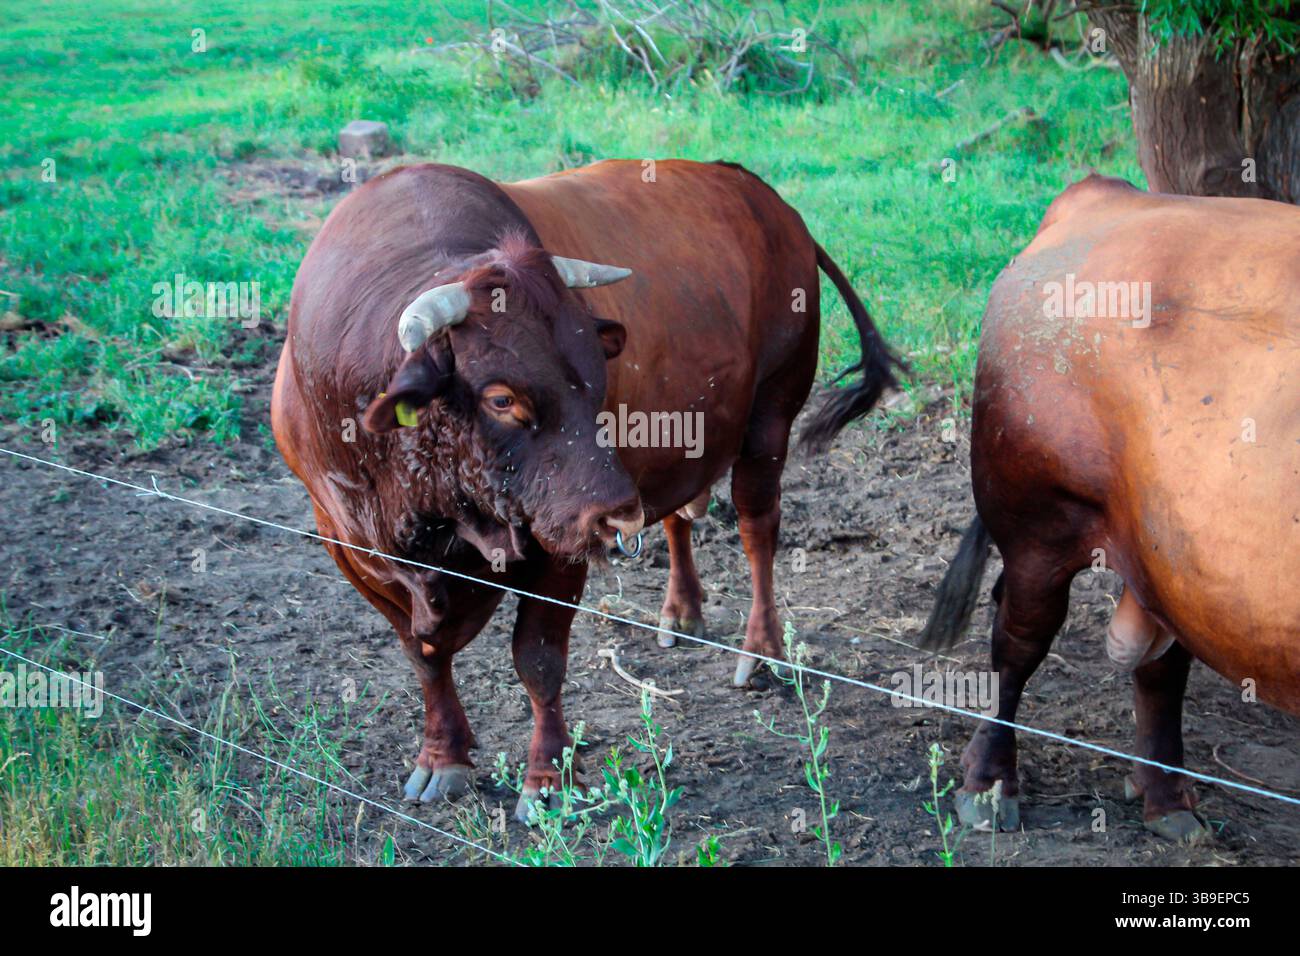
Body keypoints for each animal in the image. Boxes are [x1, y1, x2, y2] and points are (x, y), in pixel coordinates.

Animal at [272, 159, 899, 819]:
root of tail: (768, 200)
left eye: (596, 380)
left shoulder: (560, 546)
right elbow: (425, 656)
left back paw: (761, 651)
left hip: (770, 415)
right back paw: (681, 612)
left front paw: (546, 780)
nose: (616, 517)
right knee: (678, 516)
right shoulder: (351, 548)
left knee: (758, 528)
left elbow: (539, 659)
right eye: (502, 399)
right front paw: (443, 757)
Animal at [920, 174, 1299, 841]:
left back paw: (1166, 796)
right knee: (1018, 642)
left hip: (1173, 559)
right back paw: (988, 784)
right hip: (1039, 521)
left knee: (1162, 662)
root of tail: (1106, 193)